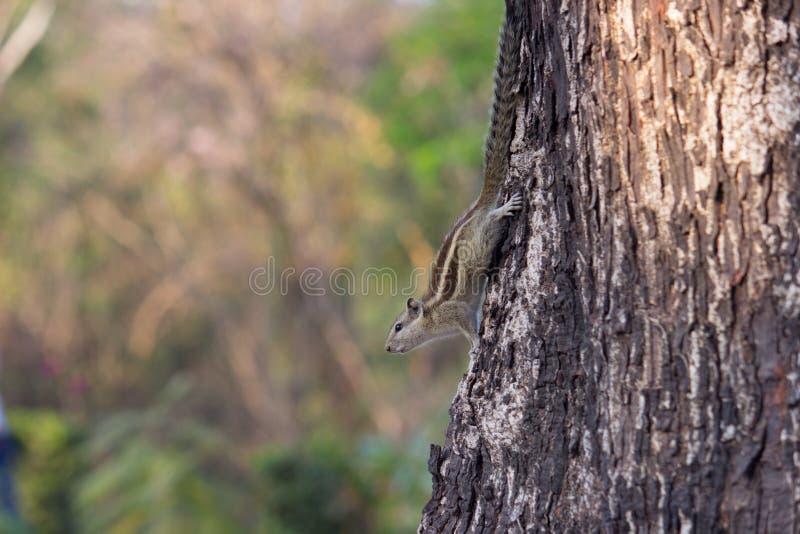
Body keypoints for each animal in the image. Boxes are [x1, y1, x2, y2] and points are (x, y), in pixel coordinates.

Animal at [385, 0, 524, 354]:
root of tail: (477, 205)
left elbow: (468, 326)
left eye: (398, 326)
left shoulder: (456, 310)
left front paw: (475, 345)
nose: (387, 348)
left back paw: (503, 208)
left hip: (483, 233)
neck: (432, 318)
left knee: (492, 218)